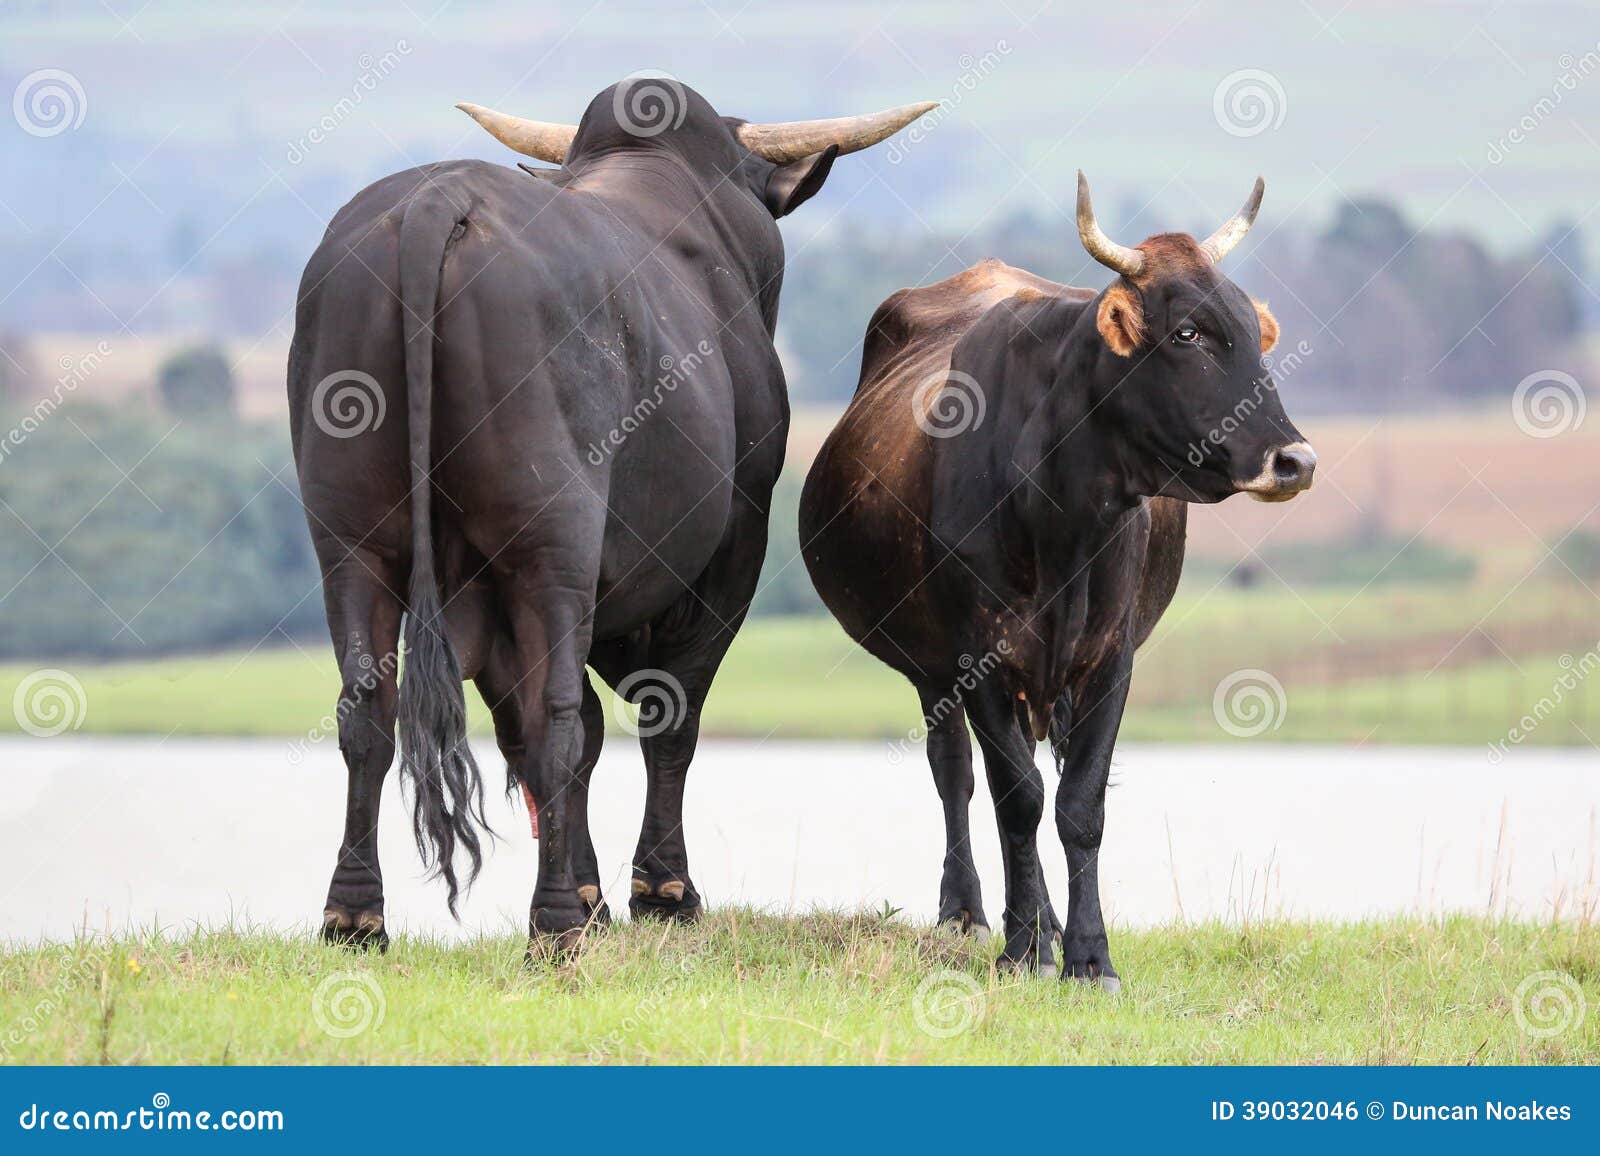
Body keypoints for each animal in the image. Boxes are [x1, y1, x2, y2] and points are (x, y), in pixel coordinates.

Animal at [289, 78, 931, 952]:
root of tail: (437, 200)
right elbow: (668, 713)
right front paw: (659, 889)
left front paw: (600, 890)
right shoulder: (733, 549)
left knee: (371, 710)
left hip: (351, 541)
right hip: (551, 543)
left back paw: (355, 913)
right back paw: (554, 923)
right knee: (558, 717)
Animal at [799, 174, 1316, 986]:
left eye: (1250, 329)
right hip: (932, 669)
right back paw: (977, 914)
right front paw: (1021, 948)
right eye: (1188, 333)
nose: (1294, 461)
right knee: (958, 773)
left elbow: (1080, 803)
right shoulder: (977, 658)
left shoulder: (1111, 657)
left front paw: (1089, 955)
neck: (1060, 515)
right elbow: (1017, 799)